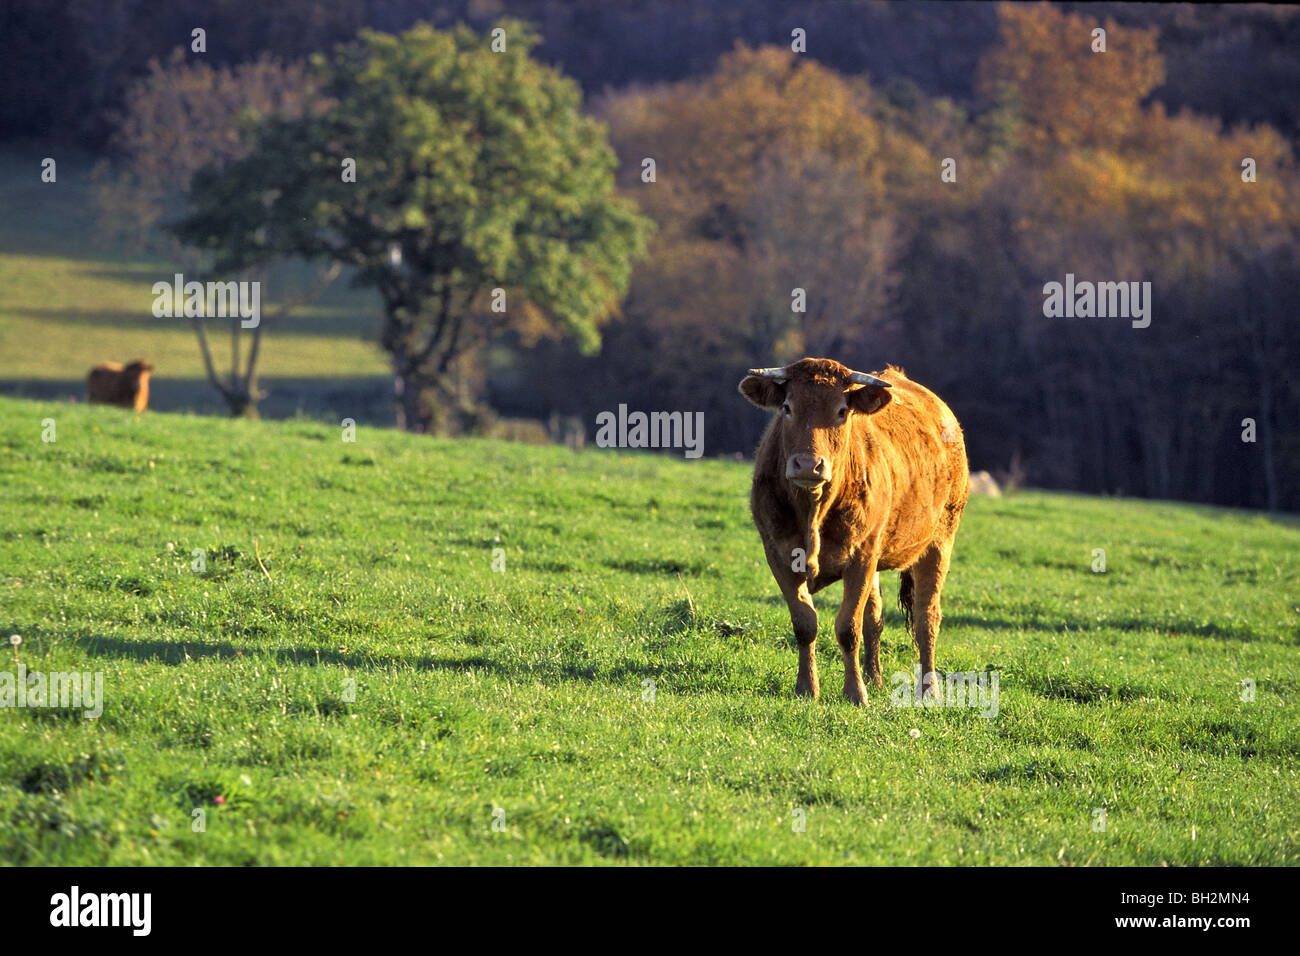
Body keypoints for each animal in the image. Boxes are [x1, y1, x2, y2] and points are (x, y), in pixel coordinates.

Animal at [739, 358, 968, 704]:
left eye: (842, 411)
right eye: (787, 407)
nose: (808, 465)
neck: (813, 512)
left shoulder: (860, 558)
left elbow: (848, 627)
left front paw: (855, 693)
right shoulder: (778, 554)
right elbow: (805, 623)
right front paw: (807, 688)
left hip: (940, 541)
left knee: (926, 618)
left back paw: (928, 690)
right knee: (875, 618)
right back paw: (875, 678)